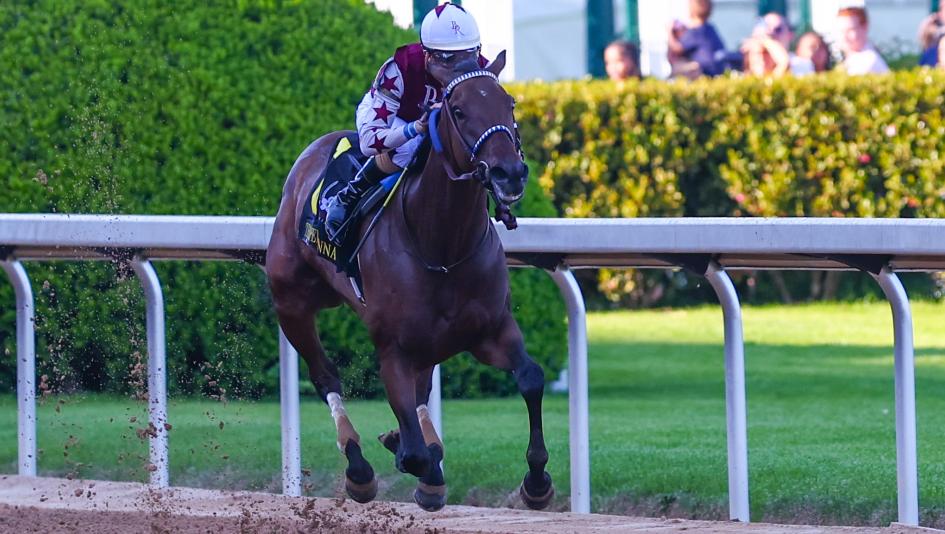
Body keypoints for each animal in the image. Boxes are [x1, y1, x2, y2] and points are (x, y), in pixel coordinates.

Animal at [265, 51, 553, 512]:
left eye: (509, 104)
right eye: (458, 110)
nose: (510, 173)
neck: (443, 246)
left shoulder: (491, 329)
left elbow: (530, 378)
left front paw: (537, 482)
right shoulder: (394, 348)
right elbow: (416, 452)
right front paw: (412, 458)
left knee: (420, 394)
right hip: (291, 303)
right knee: (326, 376)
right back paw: (360, 468)